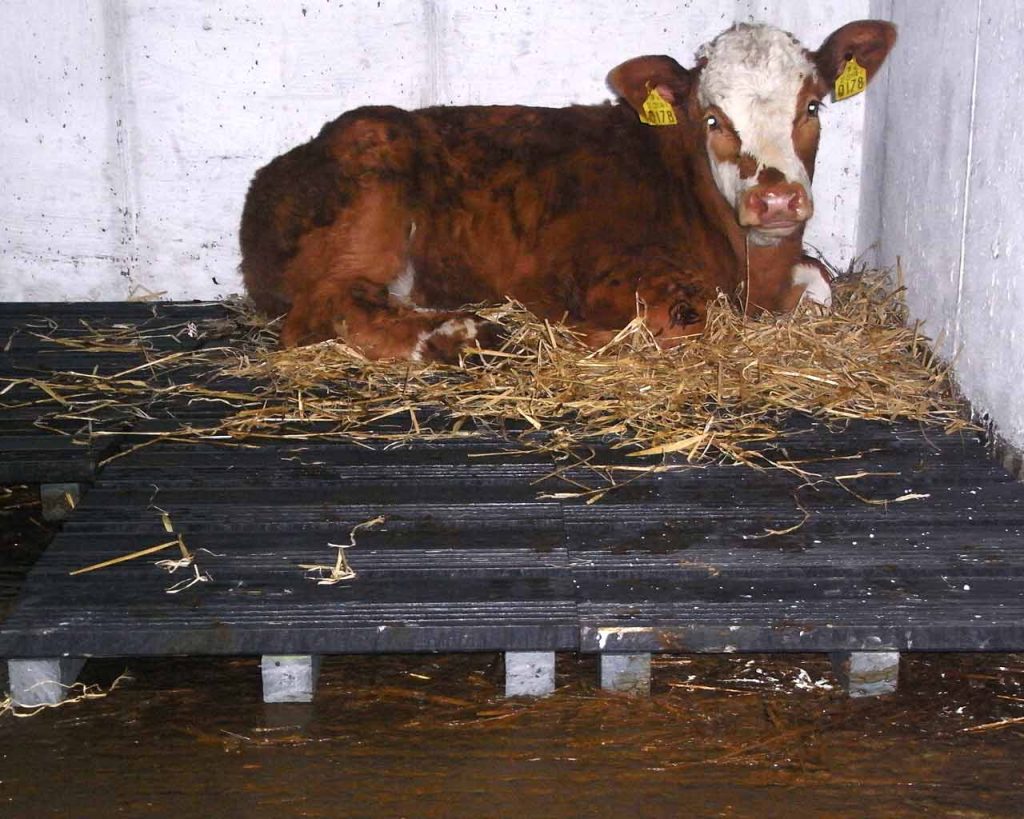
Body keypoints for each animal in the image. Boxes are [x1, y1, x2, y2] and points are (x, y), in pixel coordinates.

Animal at [240, 20, 896, 361]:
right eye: (712, 119)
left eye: (812, 107)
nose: (777, 200)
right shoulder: (605, 274)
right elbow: (689, 316)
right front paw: (578, 333)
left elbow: (822, 286)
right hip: (372, 176)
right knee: (322, 311)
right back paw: (464, 334)